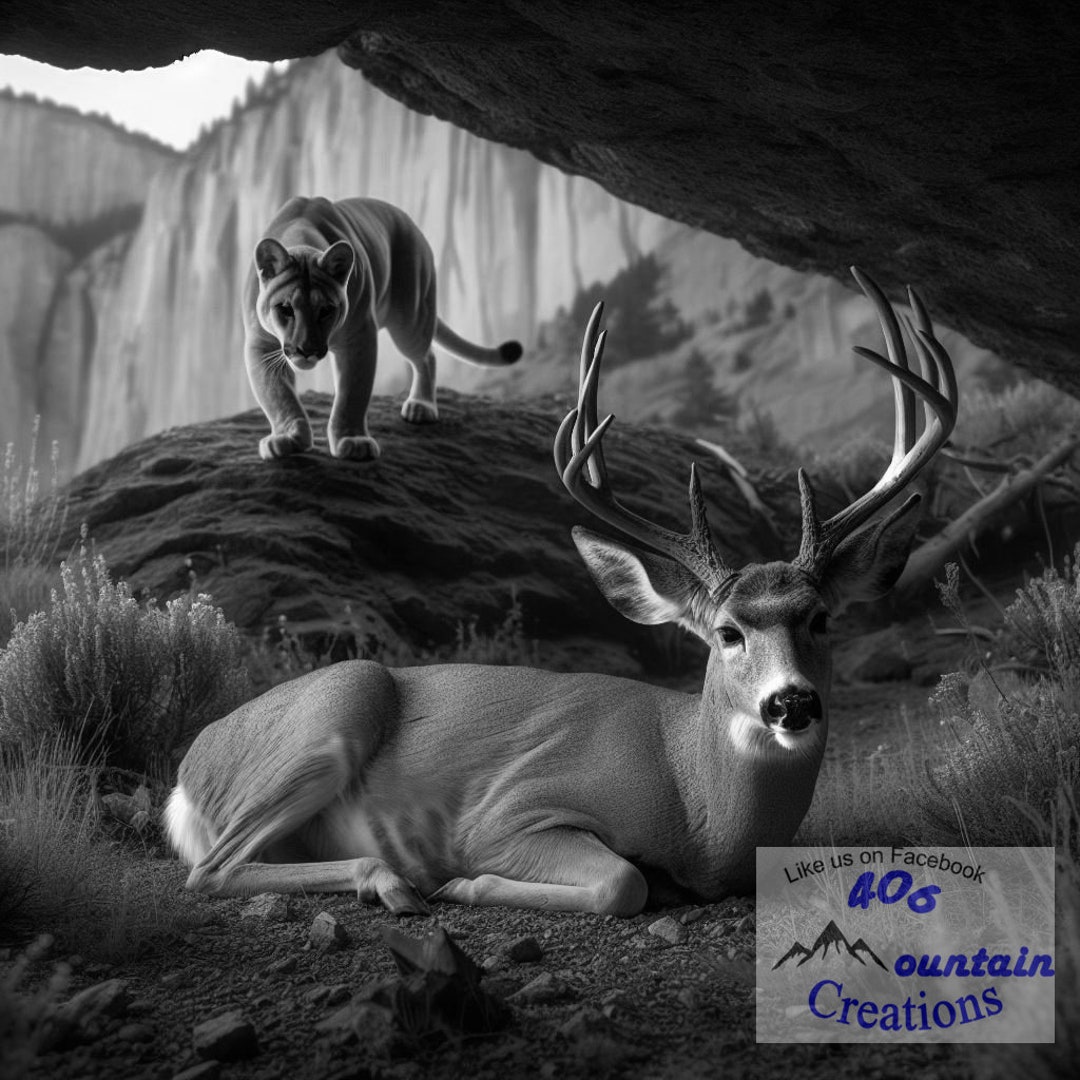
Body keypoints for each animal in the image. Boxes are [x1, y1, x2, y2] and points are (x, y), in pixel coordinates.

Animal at [165, 268, 957, 917]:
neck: (699, 810)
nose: (791, 702)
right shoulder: (510, 812)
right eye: (727, 631)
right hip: (338, 705)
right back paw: (394, 880)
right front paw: (462, 883)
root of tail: (187, 775)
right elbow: (623, 882)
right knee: (210, 870)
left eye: (821, 619)